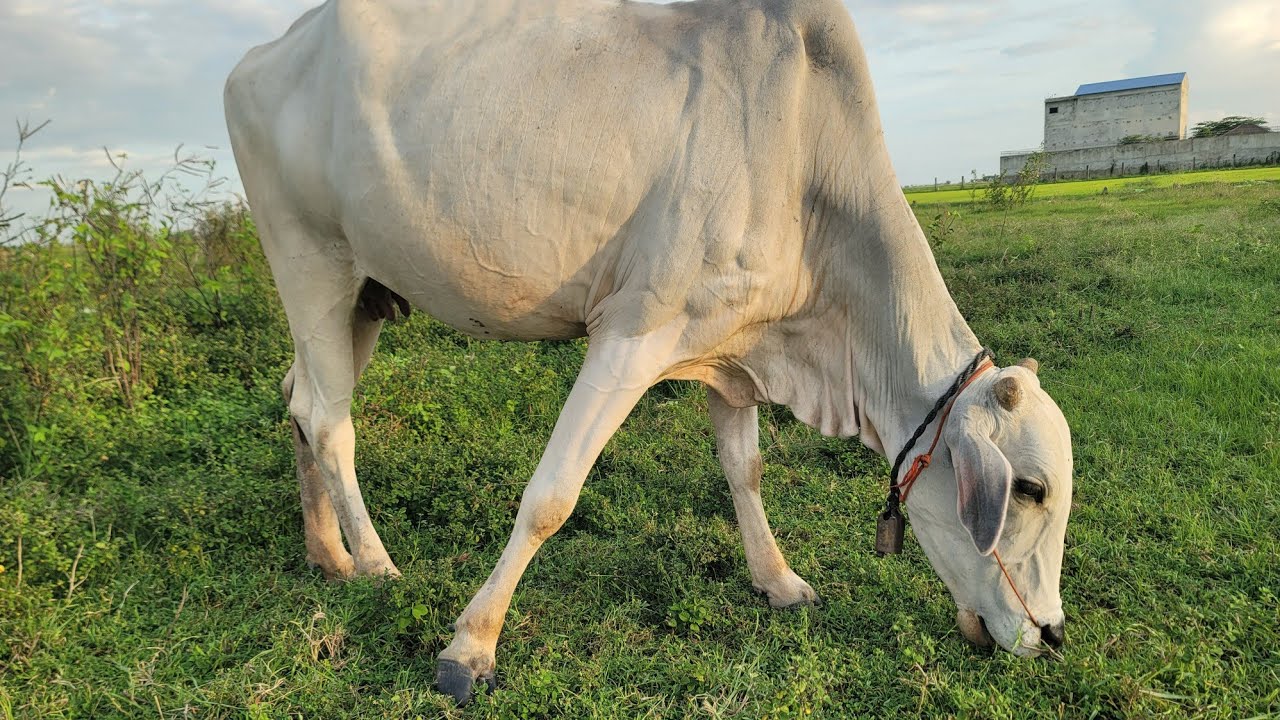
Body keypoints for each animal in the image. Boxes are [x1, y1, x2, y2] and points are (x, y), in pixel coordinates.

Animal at [224, 0, 1073, 704]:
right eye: (1030, 489)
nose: (1053, 634)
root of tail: (265, 51)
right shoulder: (632, 333)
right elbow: (552, 497)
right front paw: (471, 647)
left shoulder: (732, 352)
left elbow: (745, 470)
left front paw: (777, 580)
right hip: (309, 259)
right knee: (327, 416)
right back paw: (374, 565)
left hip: (366, 293)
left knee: (298, 396)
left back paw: (326, 553)